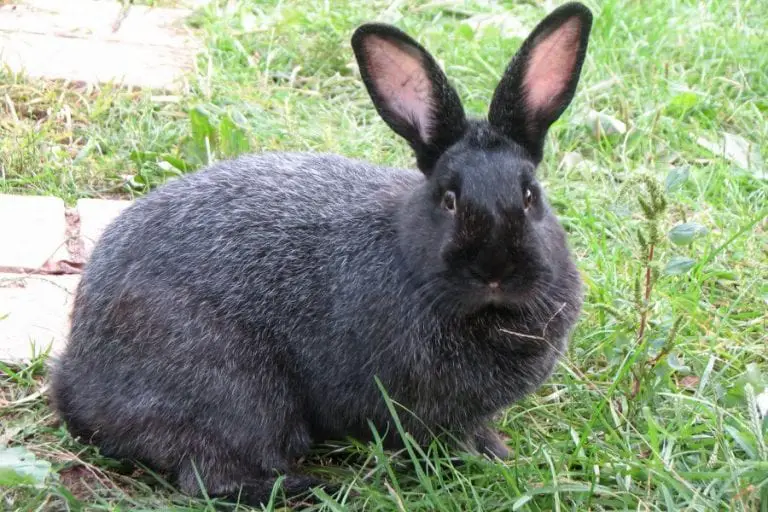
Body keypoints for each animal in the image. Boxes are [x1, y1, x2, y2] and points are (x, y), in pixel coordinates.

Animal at [49, 2, 592, 506]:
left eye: (531, 196)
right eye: (449, 199)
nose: (494, 270)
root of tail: (78, 385)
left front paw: (496, 454)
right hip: (238, 393)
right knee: (214, 475)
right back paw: (319, 488)